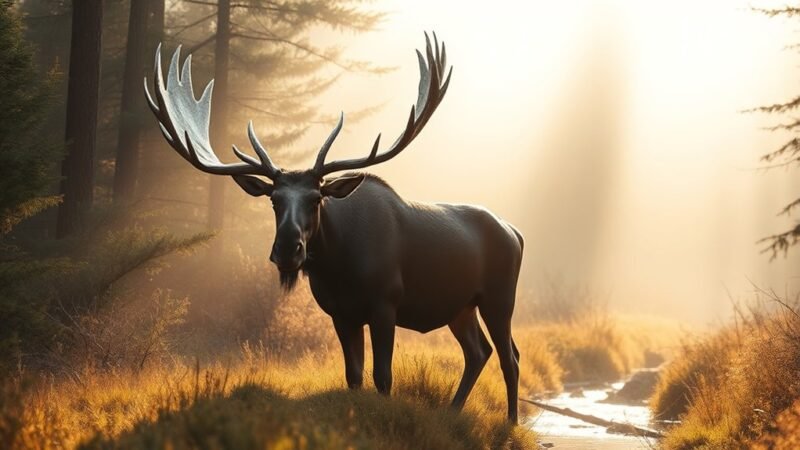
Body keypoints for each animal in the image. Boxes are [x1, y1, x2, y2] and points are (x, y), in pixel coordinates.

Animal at [144, 33, 524, 423]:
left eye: (316, 198)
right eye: (273, 200)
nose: (287, 249)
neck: (341, 268)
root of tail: (515, 232)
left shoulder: (386, 303)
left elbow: (383, 377)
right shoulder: (341, 313)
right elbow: (353, 376)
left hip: (499, 297)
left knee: (509, 356)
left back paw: (510, 422)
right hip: (461, 307)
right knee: (478, 351)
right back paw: (453, 410)